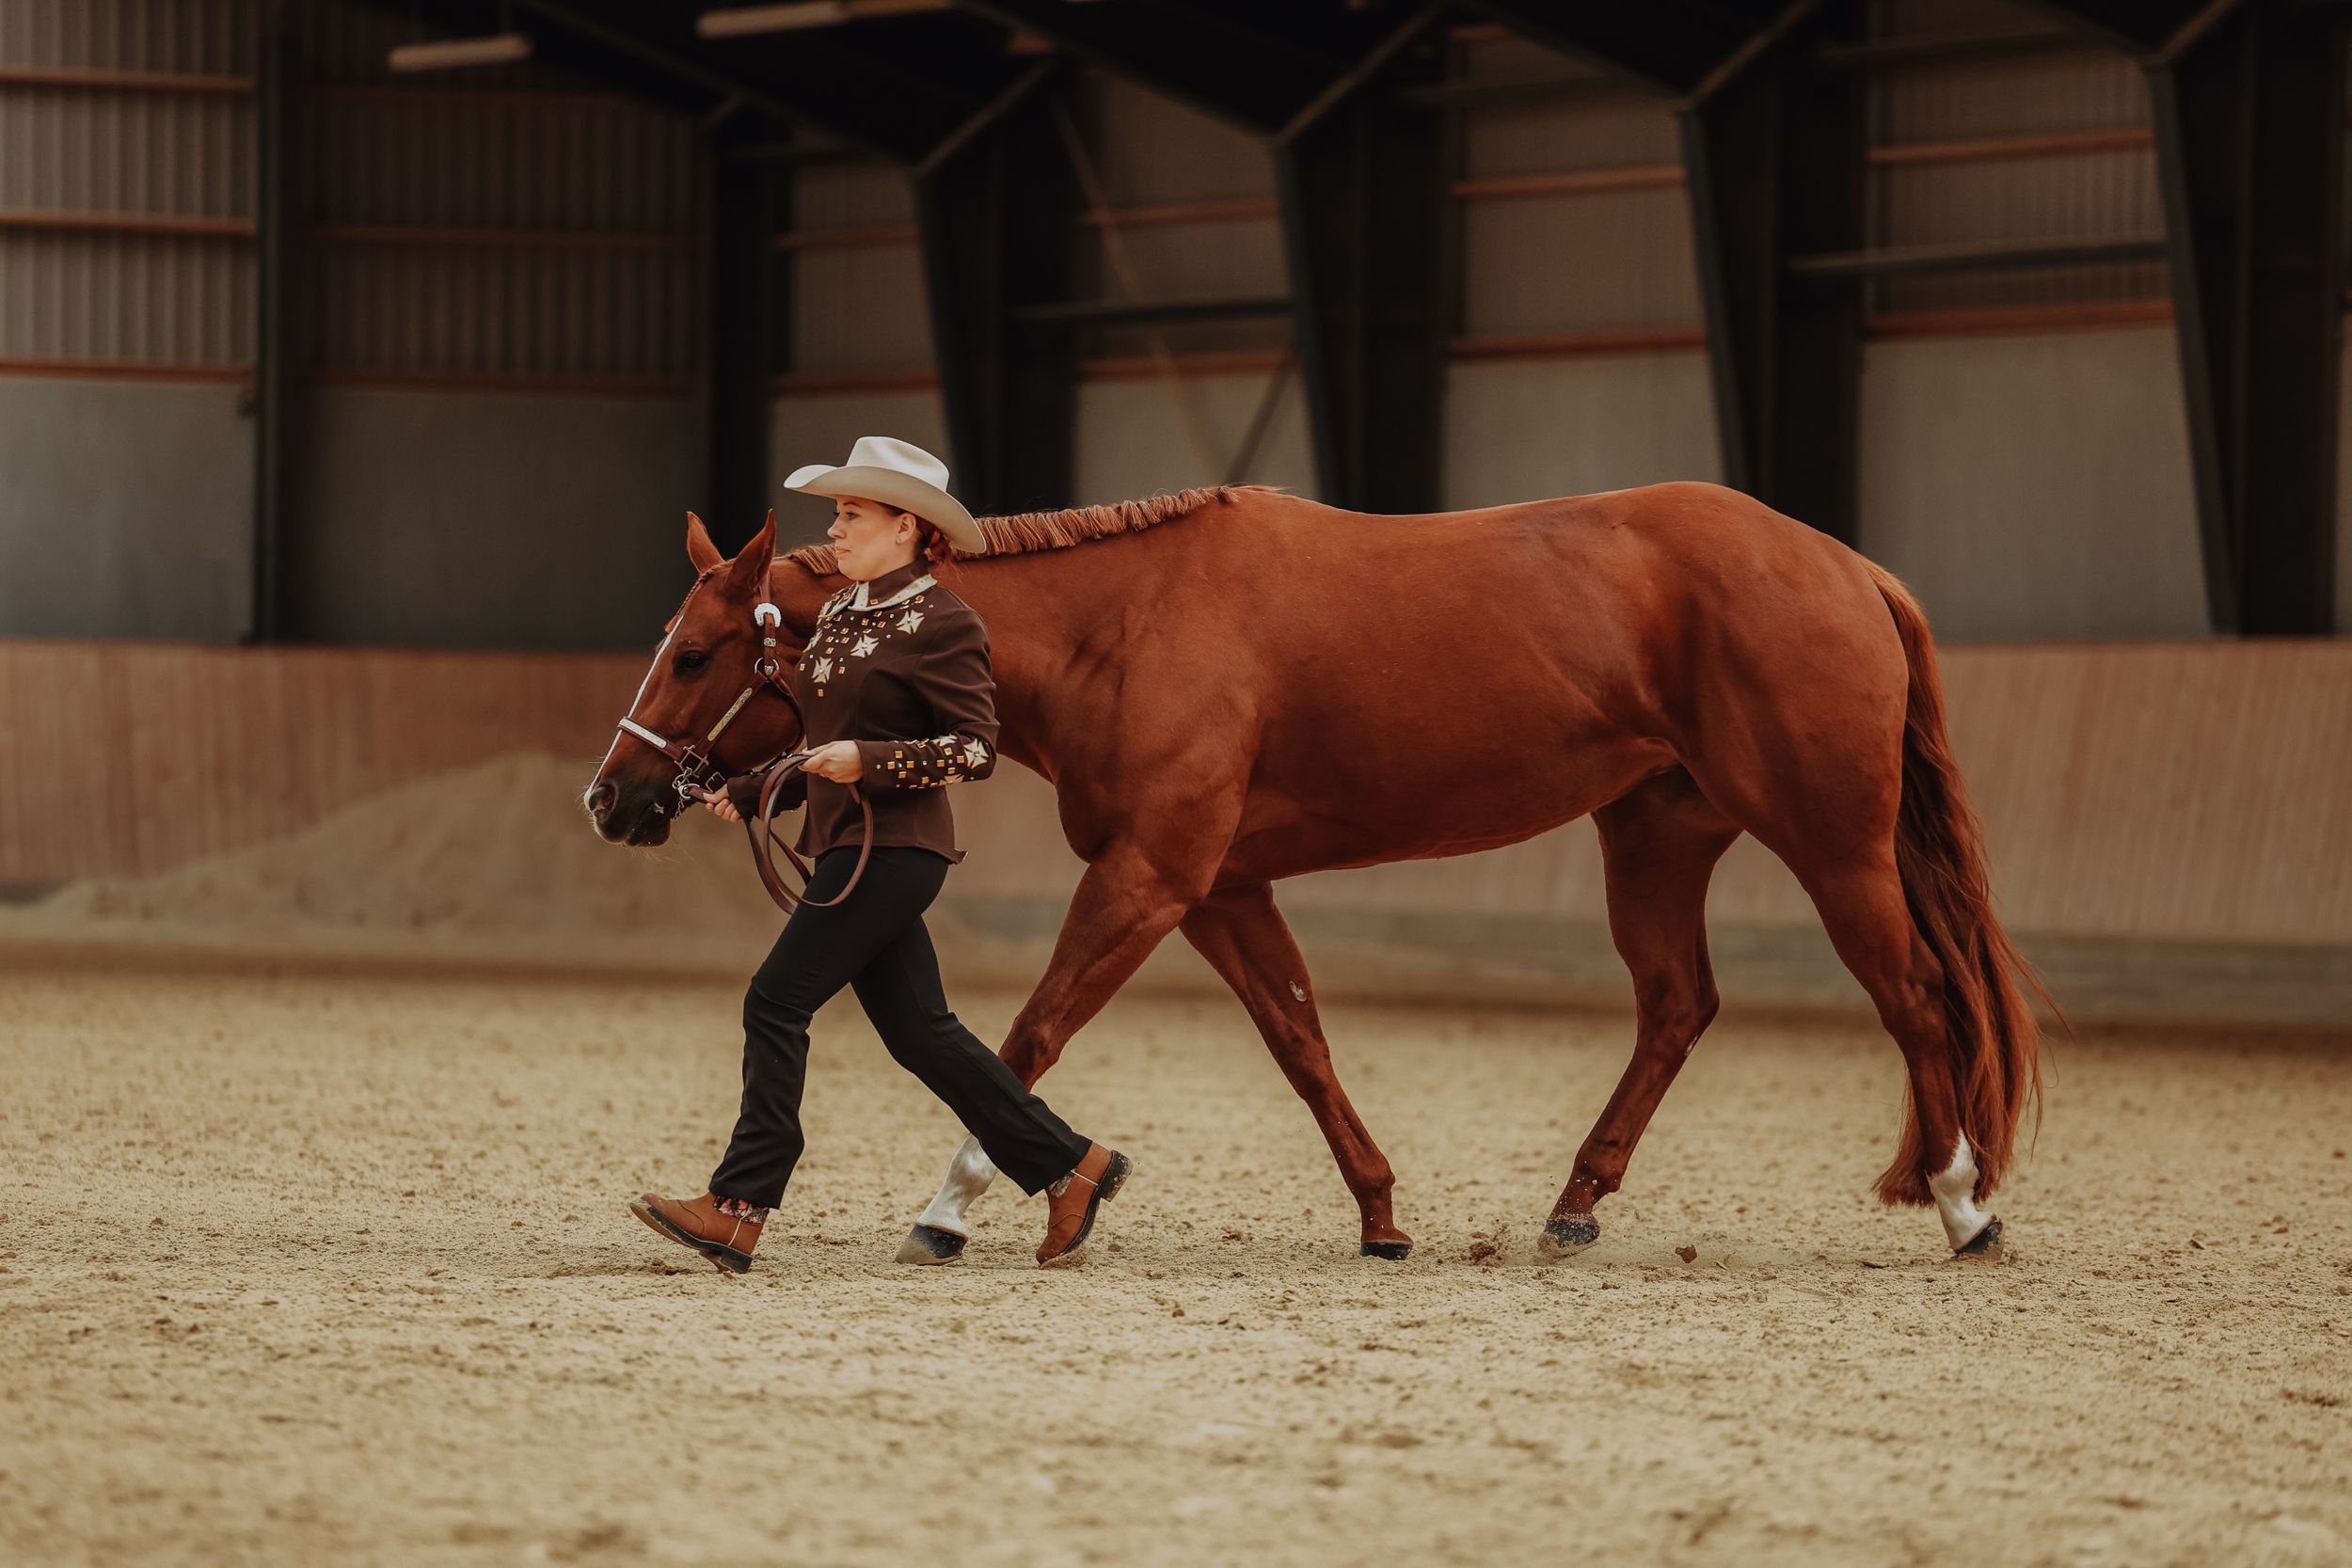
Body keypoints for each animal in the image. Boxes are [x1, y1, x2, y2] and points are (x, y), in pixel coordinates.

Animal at [585, 481, 2043, 1264]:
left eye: (699, 651)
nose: (613, 797)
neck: (1129, 624)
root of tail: (1844, 563)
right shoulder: (1222, 889)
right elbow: (1301, 1040)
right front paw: (1382, 1214)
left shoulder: (1152, 875)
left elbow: (1029, 1033)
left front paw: (956, 1207)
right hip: (1657, 835)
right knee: (1678, 1004)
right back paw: (1573, 1206)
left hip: (1831, 841)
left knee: (1915, 997)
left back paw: (1964, 1205)